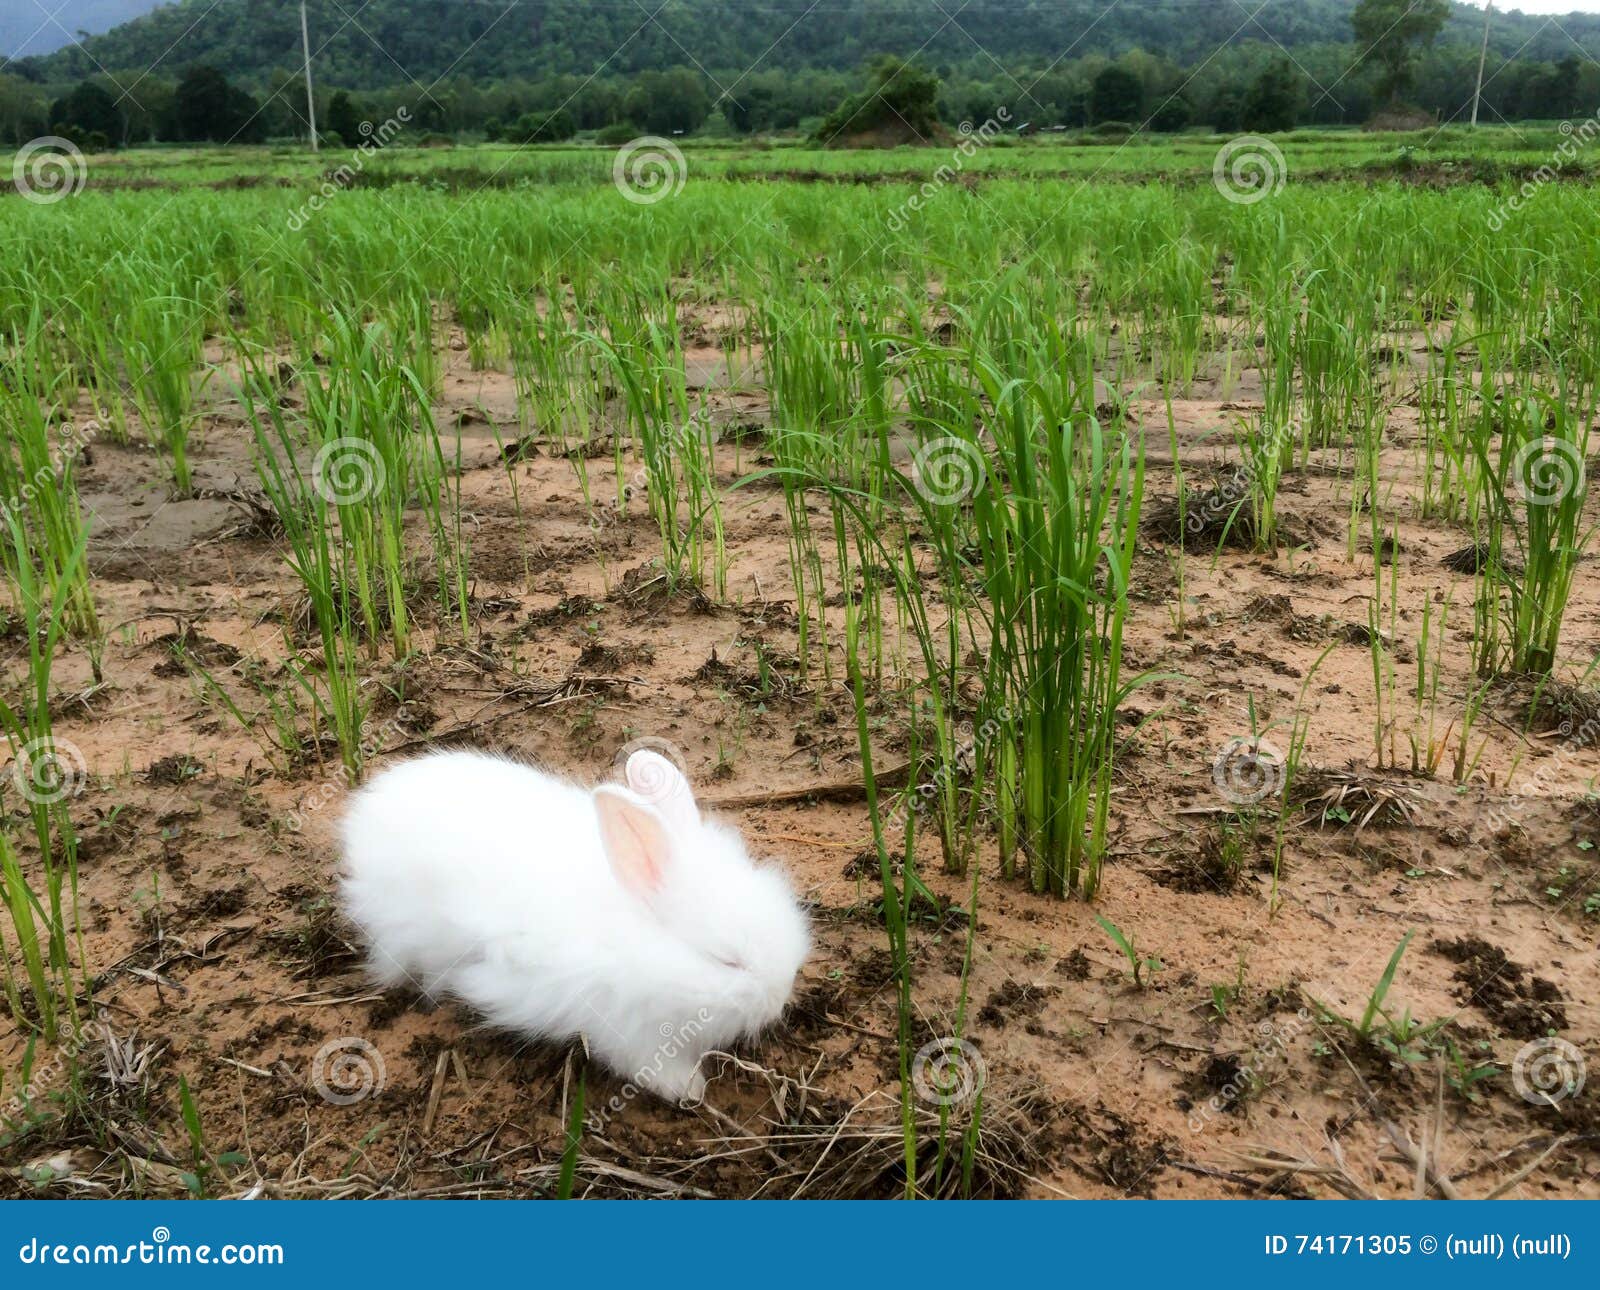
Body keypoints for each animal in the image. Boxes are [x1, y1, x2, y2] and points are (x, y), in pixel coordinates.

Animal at [338, 746, 810, 1103]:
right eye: (727, 961)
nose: (781, 995)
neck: (639, 943)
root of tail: (367, 813)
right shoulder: (625, 1029)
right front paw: (689, 1089)